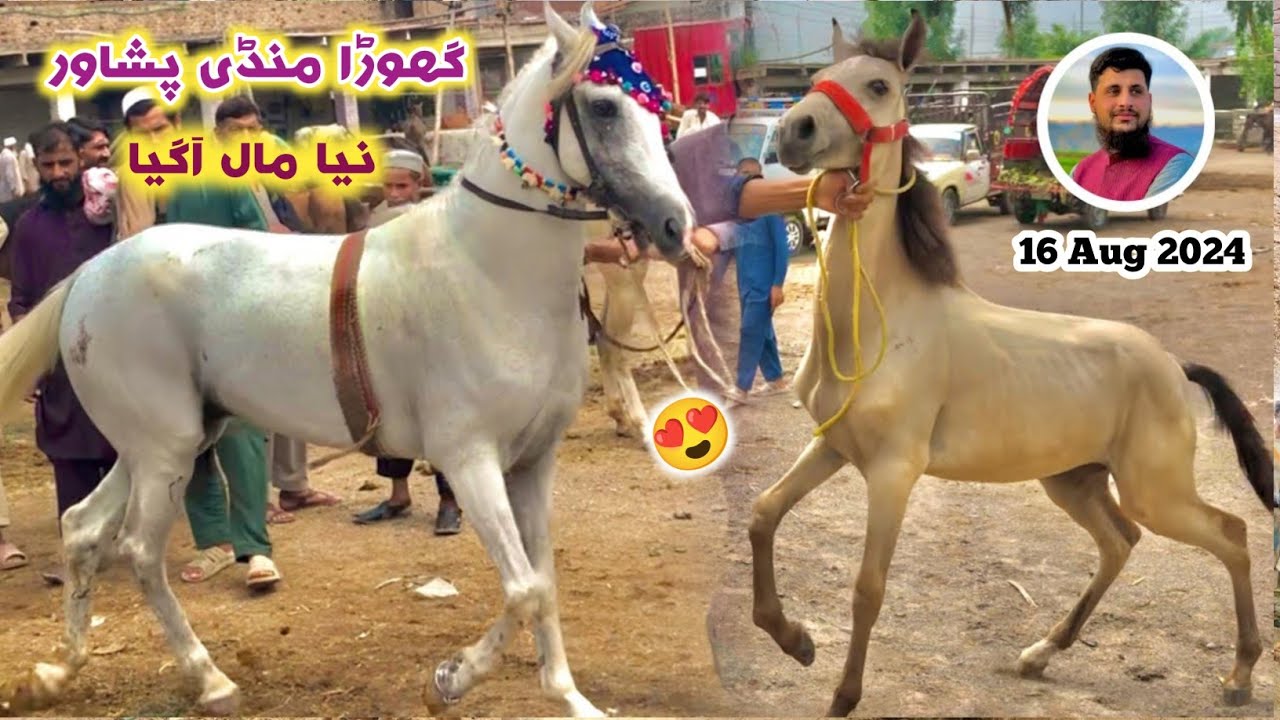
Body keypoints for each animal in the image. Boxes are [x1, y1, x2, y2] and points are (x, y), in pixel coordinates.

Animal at [0, 3, 694, 716]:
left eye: (659, 108)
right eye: (605, 107)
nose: (676, 225)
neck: (487, 273)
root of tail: (89, 275)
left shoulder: (533, 462)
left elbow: (543, 579)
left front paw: (567, 695)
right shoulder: (469, 459)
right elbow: (523, 587)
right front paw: (449, 678)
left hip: (167, 441)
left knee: (83, 528)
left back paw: (56, 672)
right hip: (165, 448)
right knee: (137, 549)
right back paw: (210, 679)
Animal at [746, 12, 1273, 716]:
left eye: (879, 85)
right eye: (822, 77)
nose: (792, 132)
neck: (881, 324)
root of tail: (1172, 364)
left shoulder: (893, 471)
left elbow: (868, 586)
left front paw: (841, 695)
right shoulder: (833, 445)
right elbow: (763, 514)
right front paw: (793, 639)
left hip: (1153, 491)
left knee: (1233, 534)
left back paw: (1239, 674)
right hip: (1074, 480)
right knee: (1120, 543)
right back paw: (1041, 653)